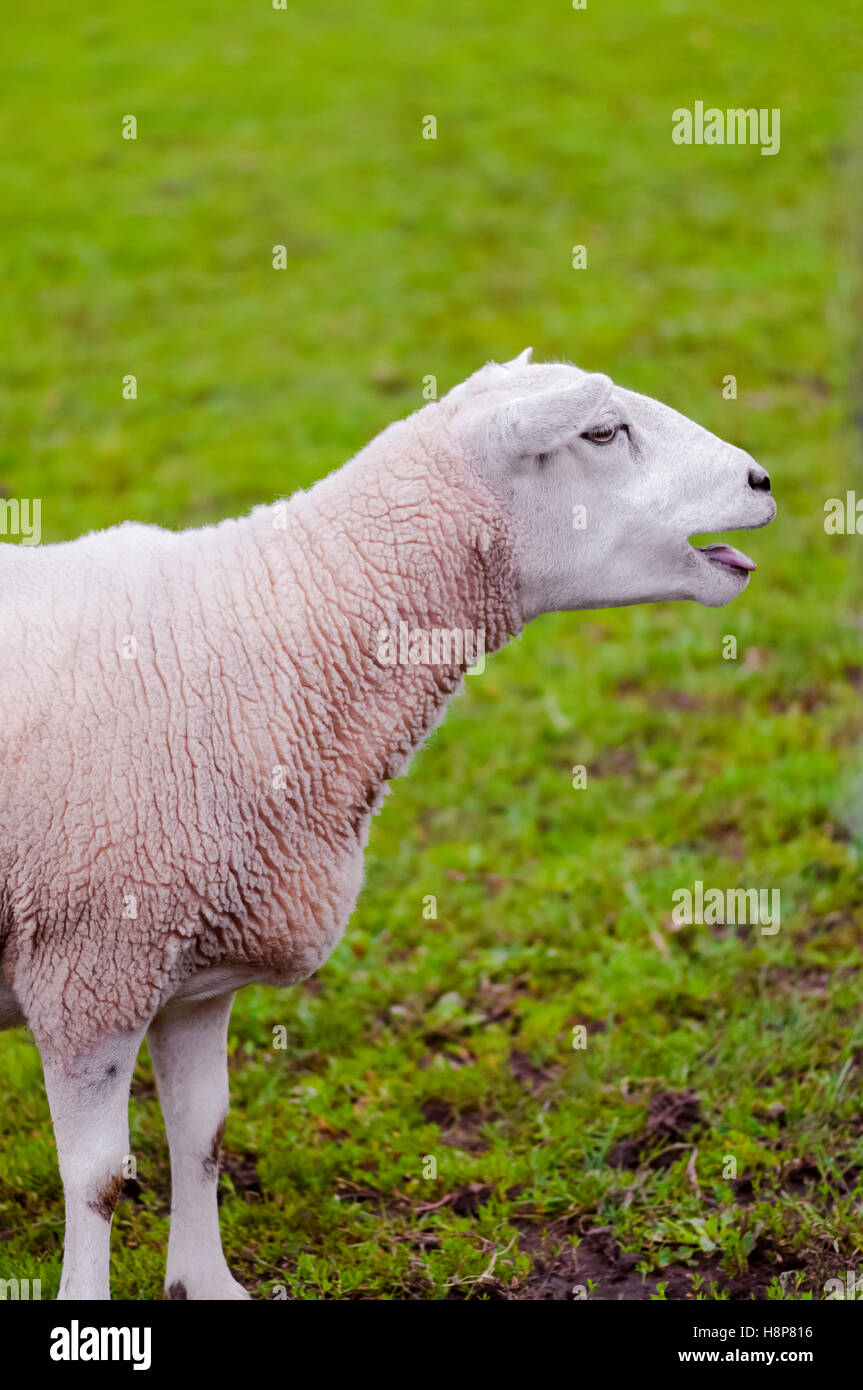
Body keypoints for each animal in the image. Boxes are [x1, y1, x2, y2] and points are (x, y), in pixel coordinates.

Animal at [0, 350, 775, 1299]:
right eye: (600, 432)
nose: (762, 481)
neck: (272, 640)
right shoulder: (89, 969)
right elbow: (100, 1179)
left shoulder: (194, 972)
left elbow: (203, 1135)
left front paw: (207, 1284)